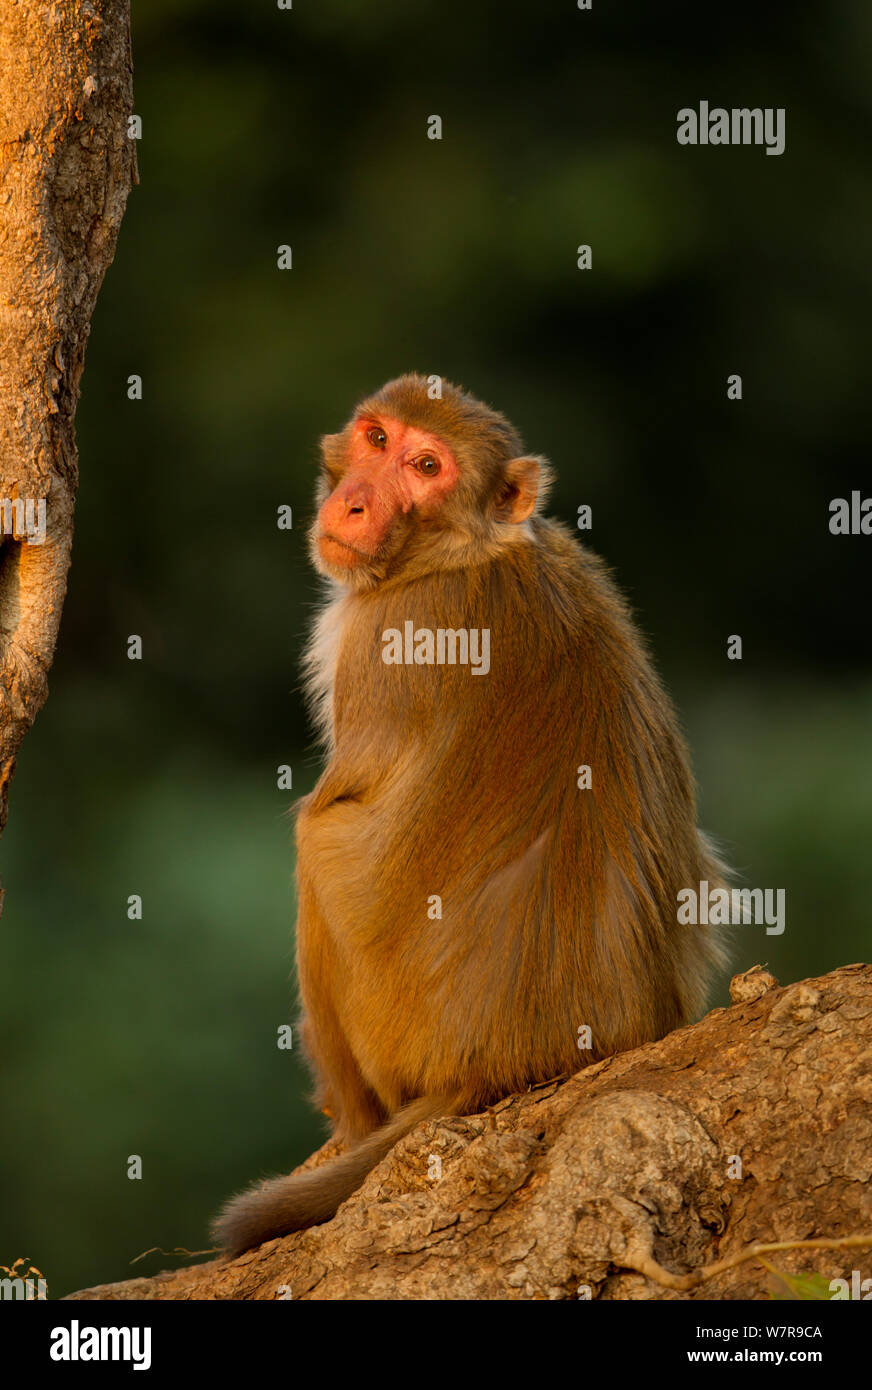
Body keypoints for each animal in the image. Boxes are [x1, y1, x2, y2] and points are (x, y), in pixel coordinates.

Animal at [211, 373, 728, 1256]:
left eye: (427, 467)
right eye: (378, 439)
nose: (354, 503)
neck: (465, 549)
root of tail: (501, 1061)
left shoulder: (380, 638)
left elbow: (334, 805)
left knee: (320, 840)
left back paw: (353, 1124)